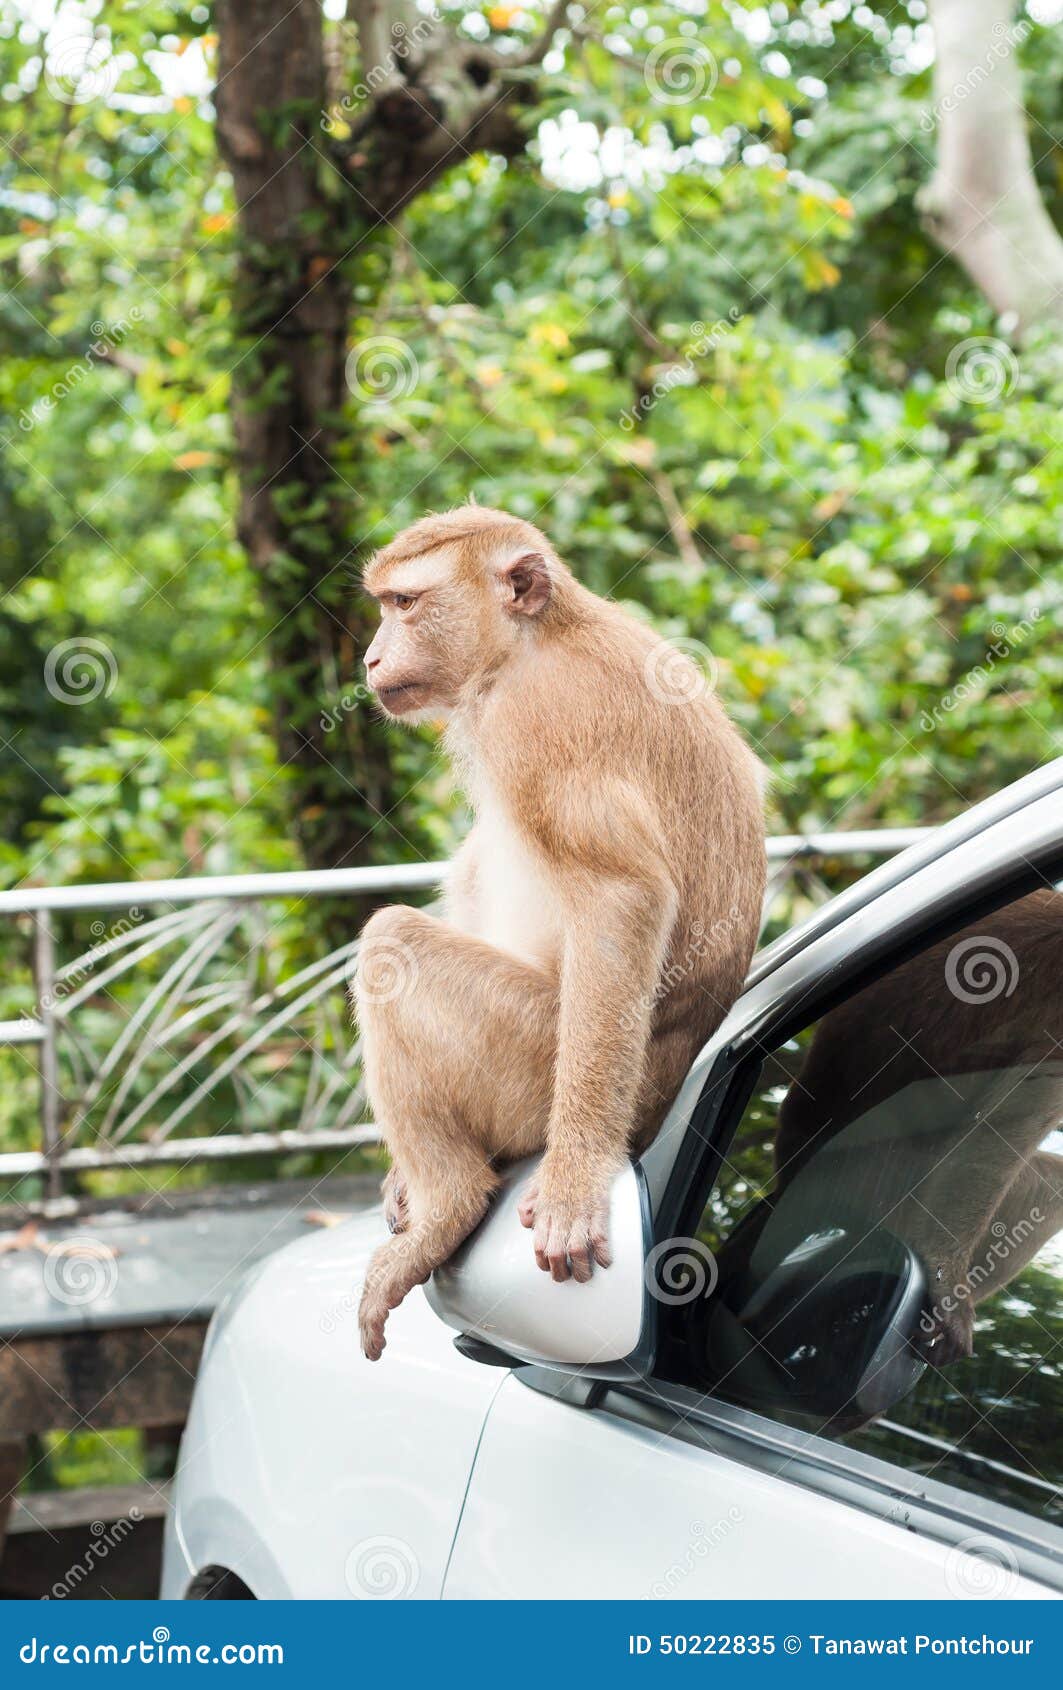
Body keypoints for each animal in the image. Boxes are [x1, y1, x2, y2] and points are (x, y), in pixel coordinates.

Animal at [352, 504, 767, 1360]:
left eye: (404, 603)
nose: (370, 656)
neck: (526, 645)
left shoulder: (540, 725)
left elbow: (620, 900)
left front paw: (574, 1181)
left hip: (529, 1058)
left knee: (392, 947)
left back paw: (448, 1203)